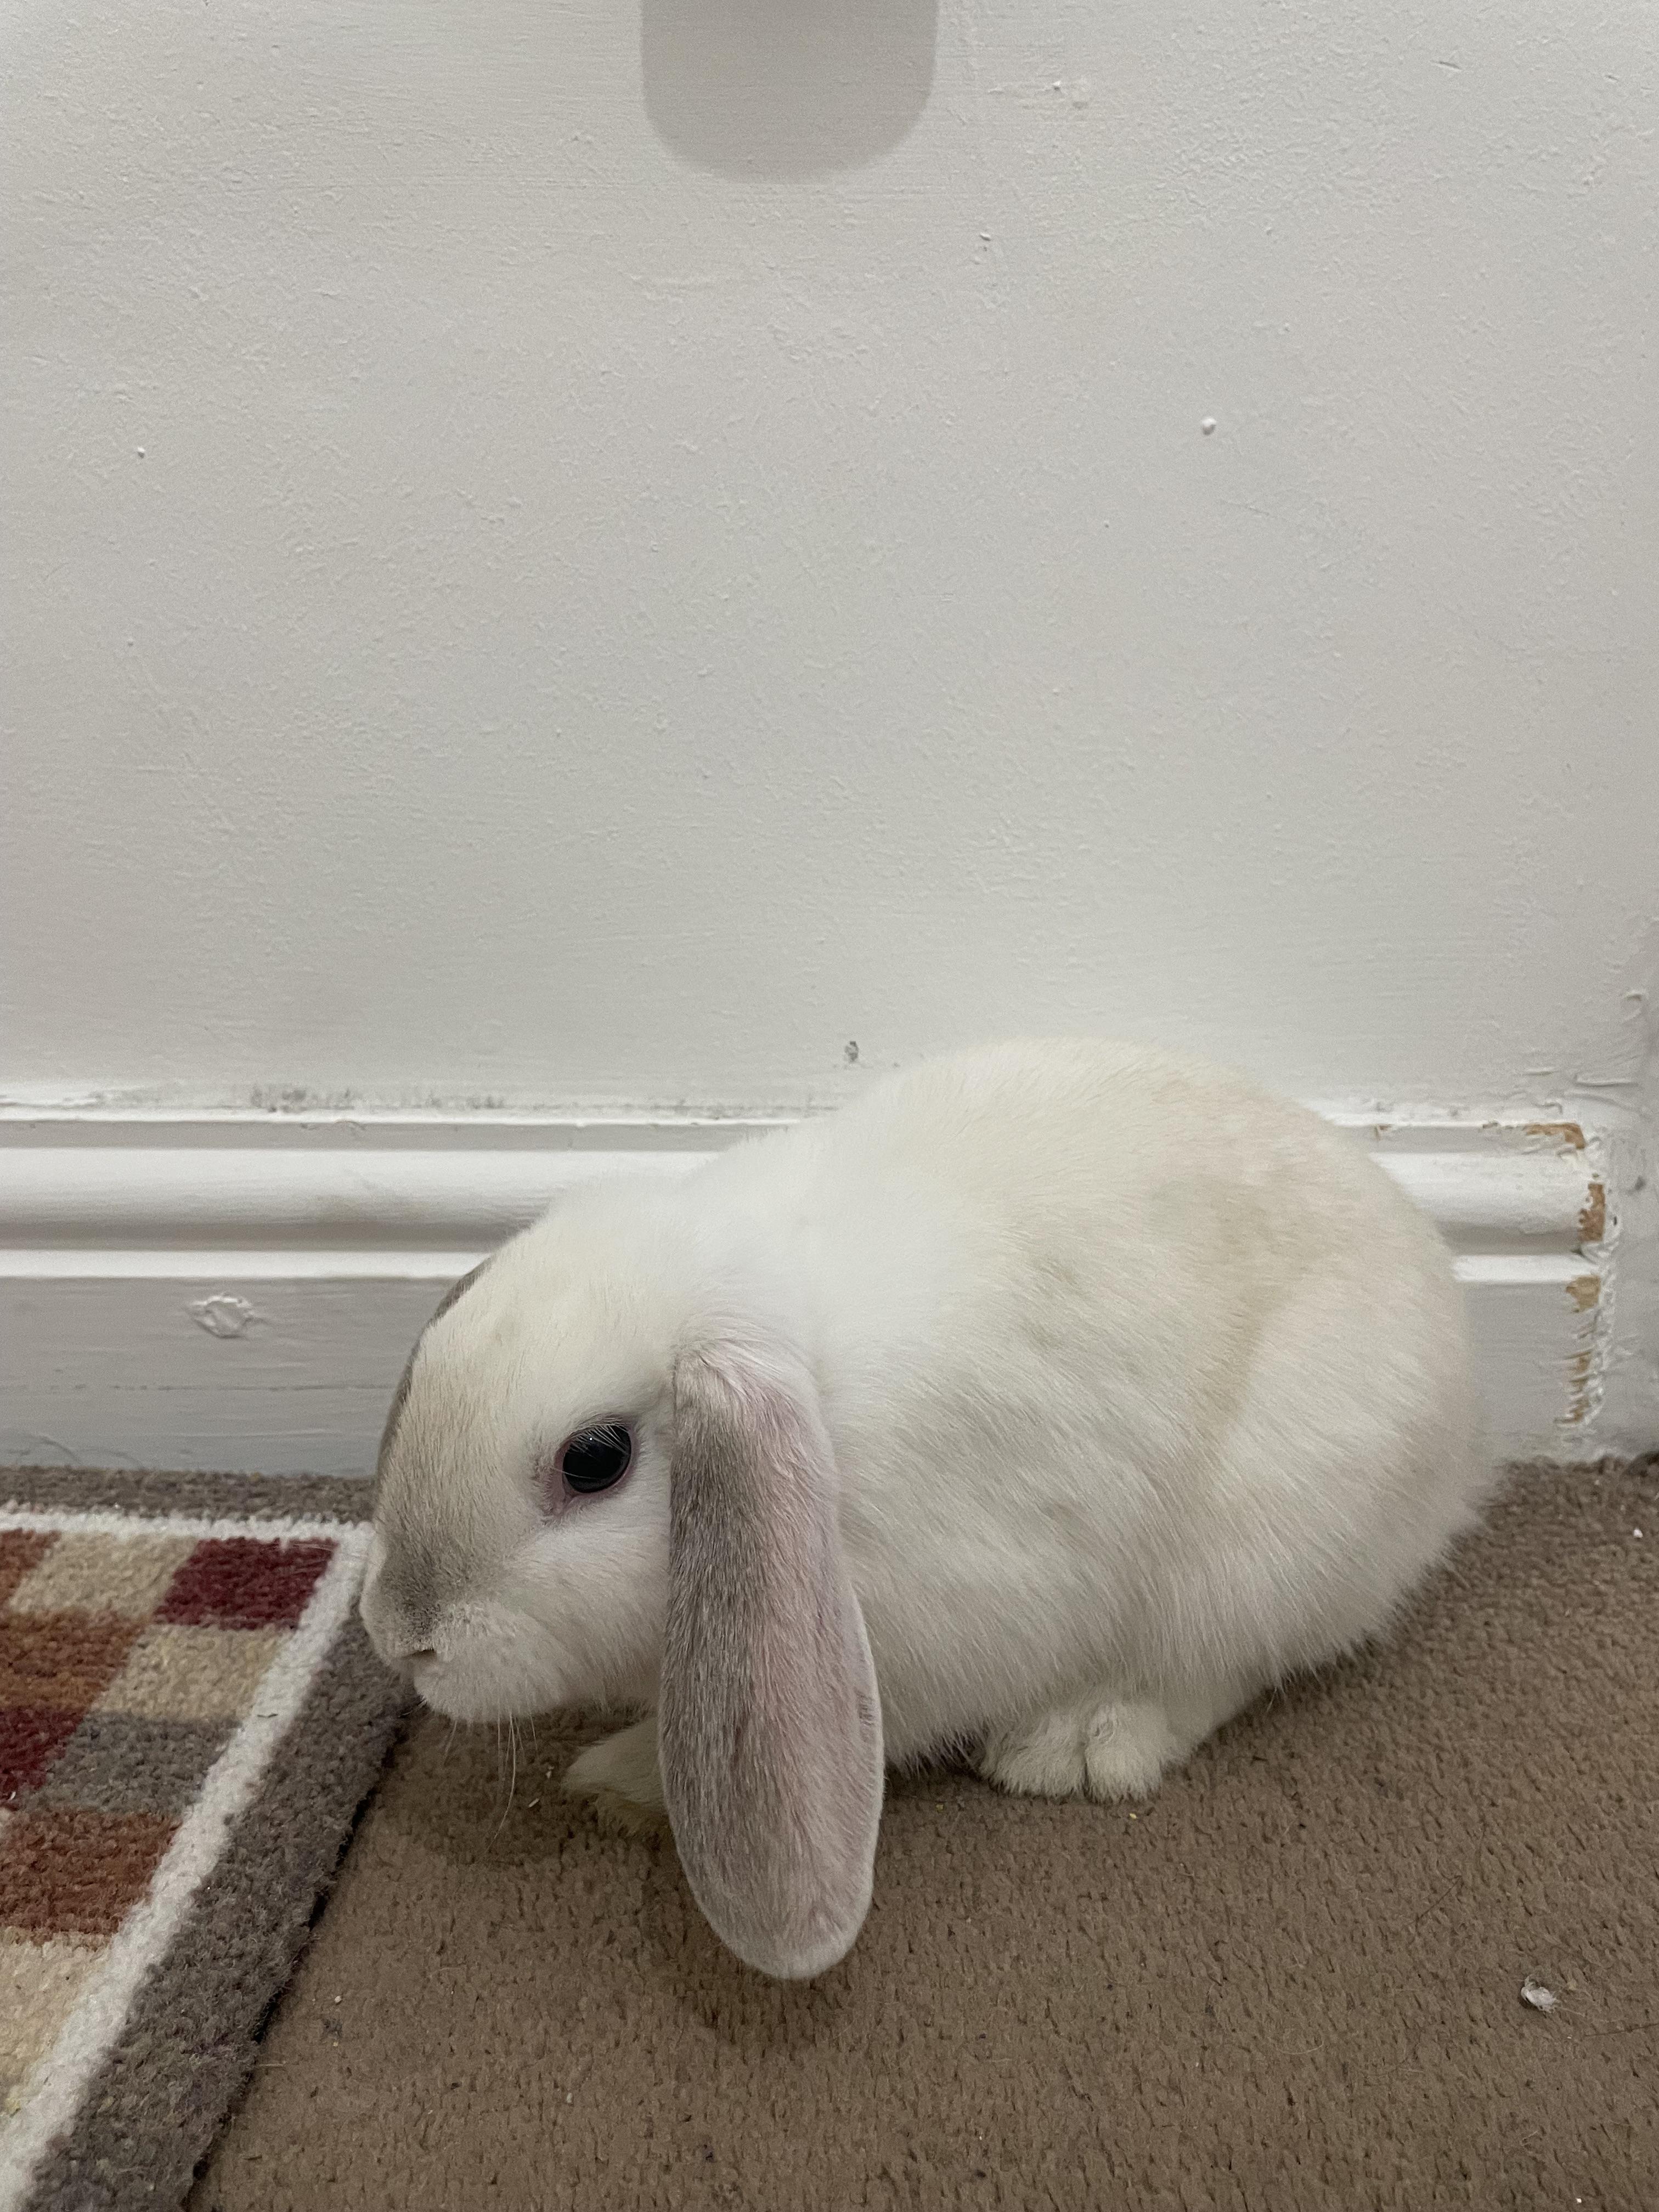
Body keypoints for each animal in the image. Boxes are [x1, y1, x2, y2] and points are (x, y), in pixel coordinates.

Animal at [362, 1037, 1487, 1981]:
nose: (400, 1637)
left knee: (1218, 1668)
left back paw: (1074, 1747)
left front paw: (626, 1781)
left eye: (595, 1460)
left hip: (1255, 1549)